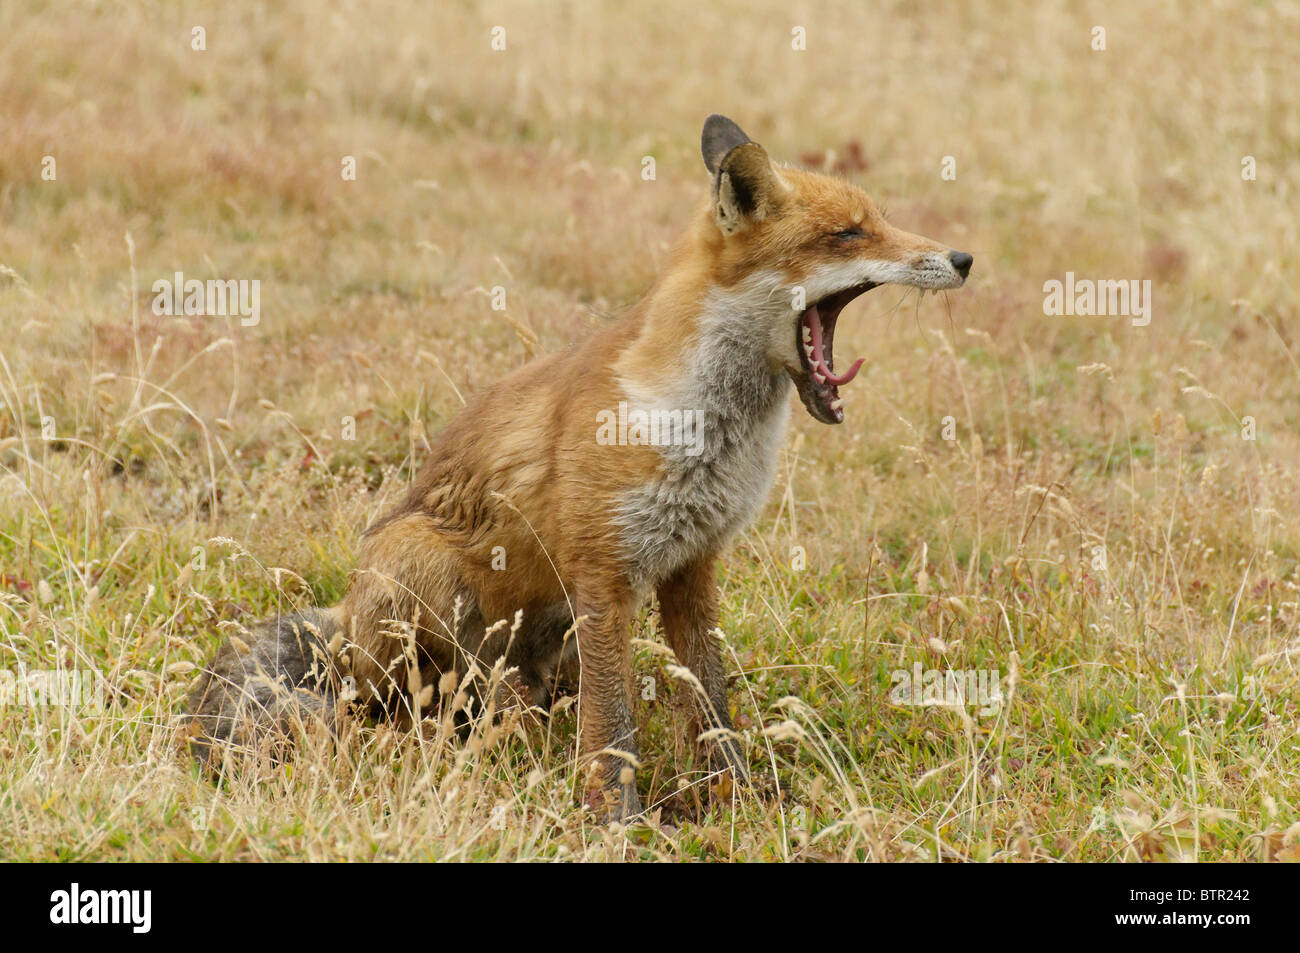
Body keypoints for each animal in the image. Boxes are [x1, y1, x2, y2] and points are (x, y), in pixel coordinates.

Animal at [185, 114, 973, 821]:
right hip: (426, 577)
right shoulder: (604, 572)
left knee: (510, 695)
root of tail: (342, 623)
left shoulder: (693, 566)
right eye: (848, 234)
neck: (709, 429)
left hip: (539, 636)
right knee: (402, 705)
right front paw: (615, 819)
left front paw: (739, 796)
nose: (963, 258)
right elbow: (612, 725)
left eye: (880, 221)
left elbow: (711, 702)